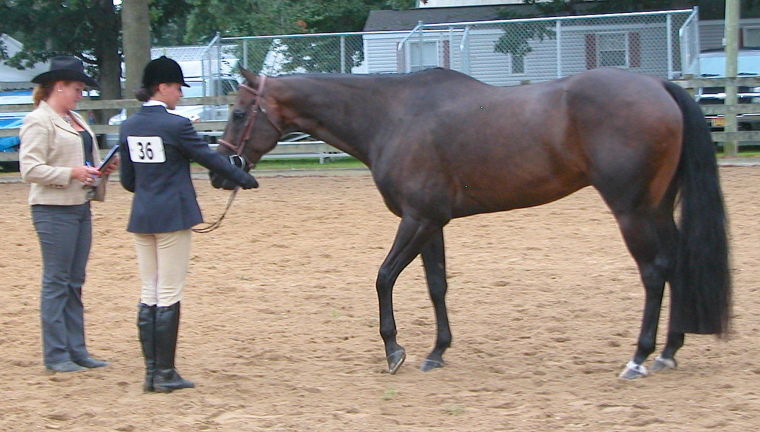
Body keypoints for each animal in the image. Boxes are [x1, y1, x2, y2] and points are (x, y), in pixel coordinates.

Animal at [210, 67, 731, 379]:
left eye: (238, 111)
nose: (220, 172)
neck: (392, 116)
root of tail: (658, 86)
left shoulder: (417, 219)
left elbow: (383, 278)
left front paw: (394, 350)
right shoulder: (432, 222)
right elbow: (437, 284)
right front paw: (437, 351)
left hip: (632, 210)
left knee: (654, 272)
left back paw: (639, 357)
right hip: (657, 207)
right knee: (677, 263)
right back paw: (669, 350)